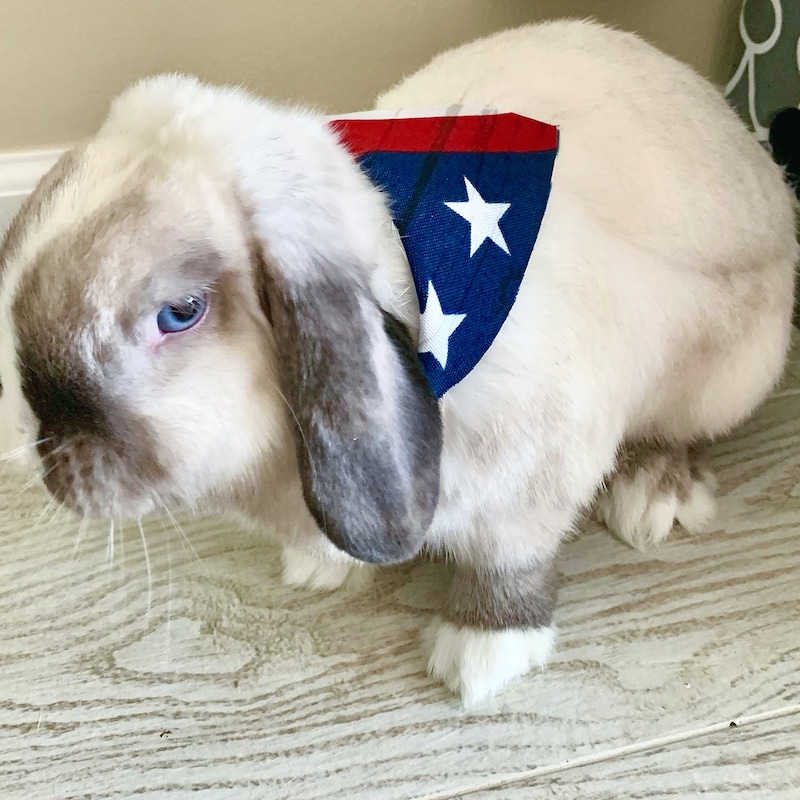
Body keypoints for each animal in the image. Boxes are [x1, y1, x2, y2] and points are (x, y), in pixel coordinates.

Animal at [0, 18, 796, 707]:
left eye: (180, 312)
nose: (47, 454)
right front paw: (319, 566)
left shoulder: (541, 468)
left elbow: (511, 562)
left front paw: (480, 656)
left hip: (727, 377)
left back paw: (655, 491)